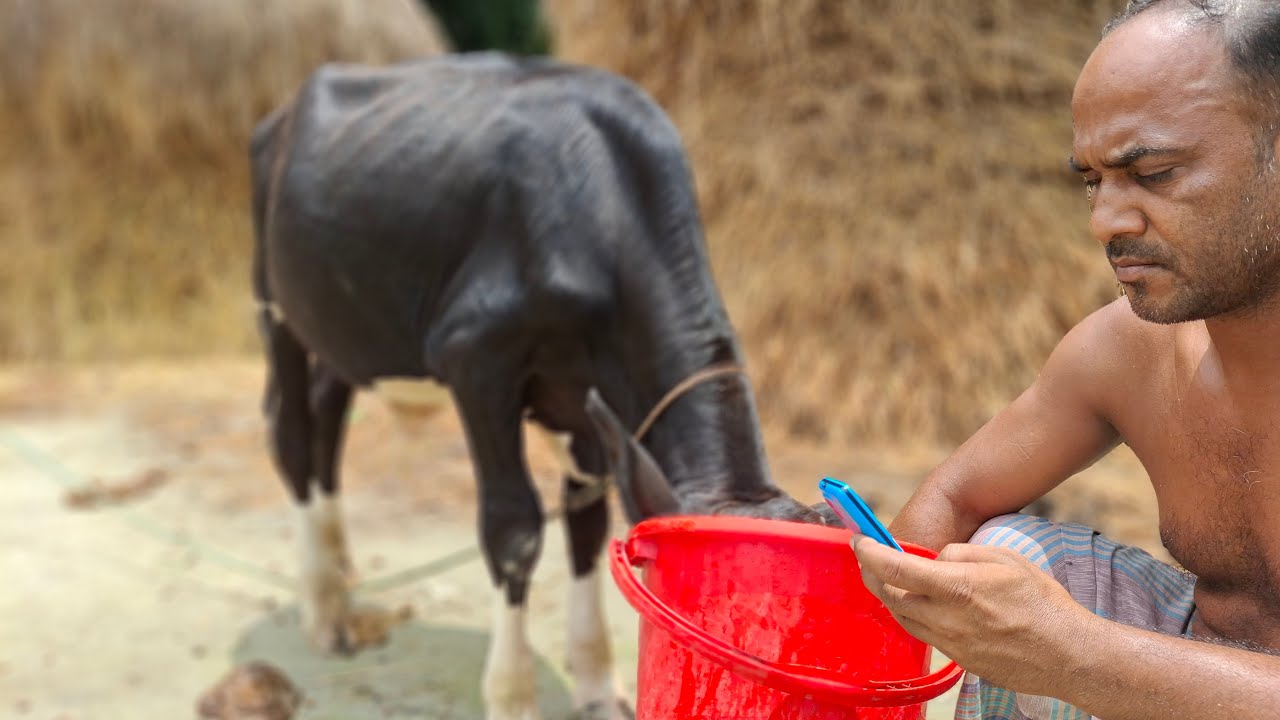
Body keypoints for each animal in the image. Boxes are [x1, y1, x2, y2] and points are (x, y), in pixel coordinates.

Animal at [249, 51, 835, 720]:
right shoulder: (476, 356)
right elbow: (514, 527)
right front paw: (512, 695)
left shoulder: (587, 398)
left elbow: (587, 523)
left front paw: (598, 686)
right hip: (275, 307)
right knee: (292, 432)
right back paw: (325, 611)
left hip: (345, 328)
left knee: (327, 415)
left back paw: (339, 570)